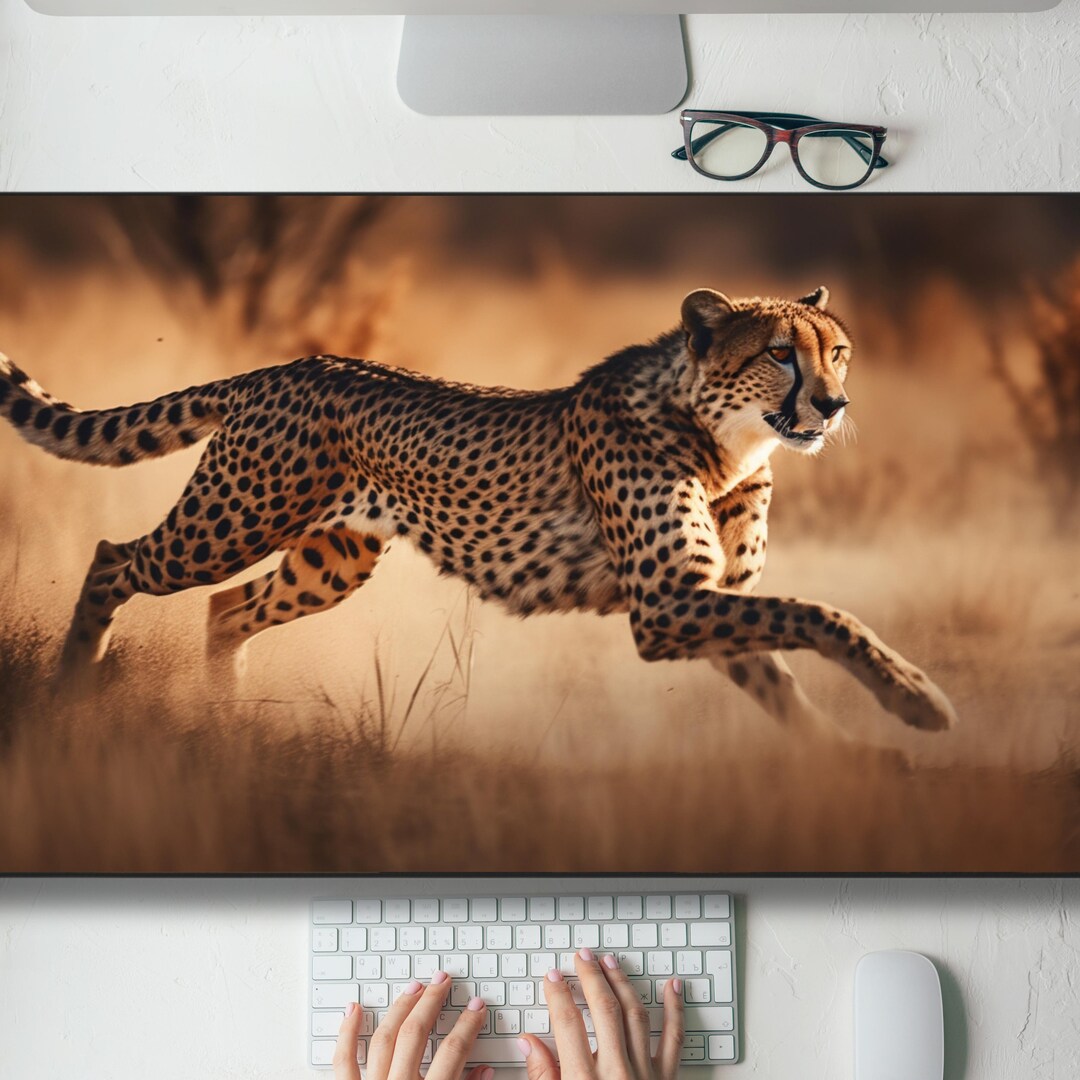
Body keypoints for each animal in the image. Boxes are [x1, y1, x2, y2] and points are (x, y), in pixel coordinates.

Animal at [0, 285, 957, 743]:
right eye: (780, 354)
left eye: (839, 351)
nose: (832, 404)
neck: (727, 444)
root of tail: (286, 365)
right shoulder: (666, 607)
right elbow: (823, 613)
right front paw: (916, 701)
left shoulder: (701, 603)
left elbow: (781, 678)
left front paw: (851, 757)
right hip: (230, 521)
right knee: (116, 557)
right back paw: (70, 687)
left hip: (333, 559)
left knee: (227, 607)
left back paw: (226, 718)